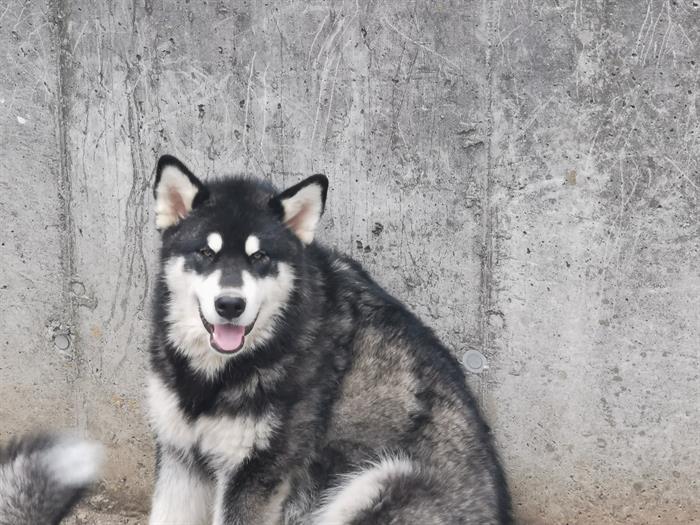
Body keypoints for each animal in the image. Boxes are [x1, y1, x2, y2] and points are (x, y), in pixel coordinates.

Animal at [148, 157, 512, 524]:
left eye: (260, 257)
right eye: (206, 252)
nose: (230, 305)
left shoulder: (256, 472)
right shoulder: (181, 458)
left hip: (372, 481)